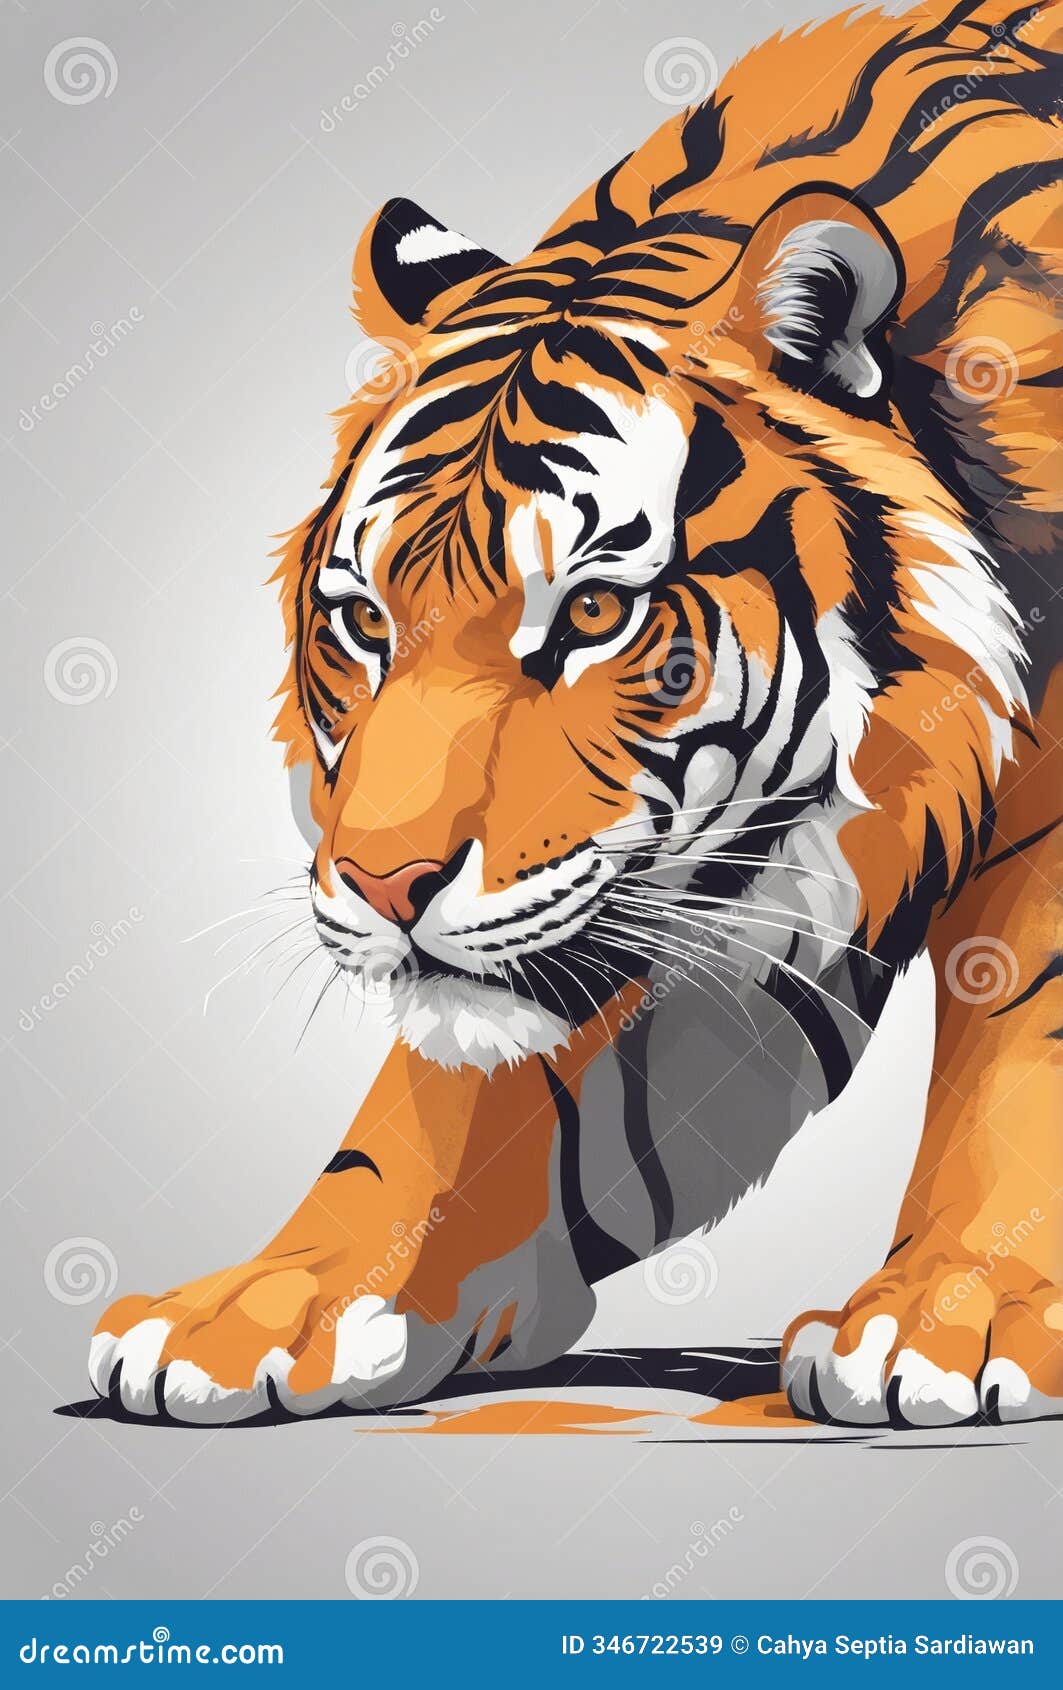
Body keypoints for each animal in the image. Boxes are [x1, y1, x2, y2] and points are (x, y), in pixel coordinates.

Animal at [90, 0, 1062, 1429]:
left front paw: (958, 1310)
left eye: (595, 614)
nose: (382, 883)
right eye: (366, 624)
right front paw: (274, 1301)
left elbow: (1028, 1032)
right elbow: (467, 1106)